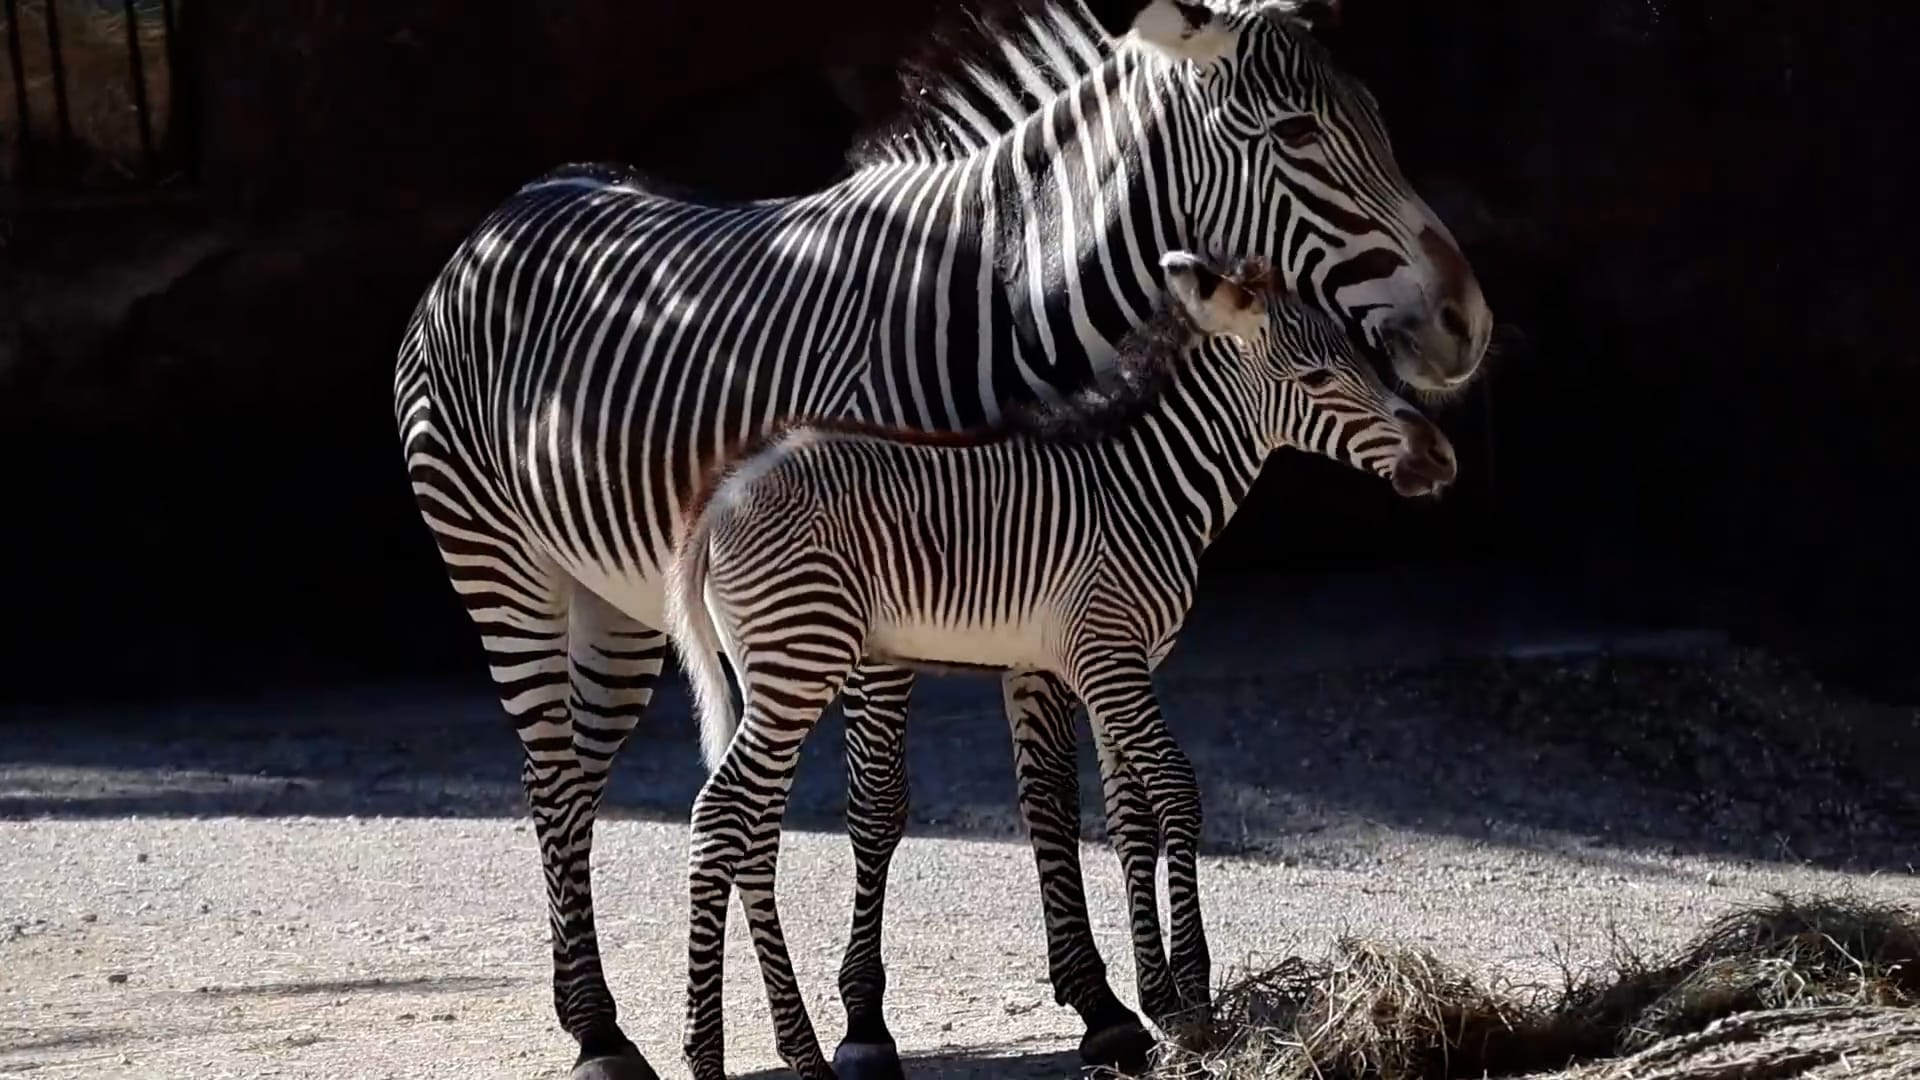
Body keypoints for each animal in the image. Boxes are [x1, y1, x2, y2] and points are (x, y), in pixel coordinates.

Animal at [666, 249, 1458, 1080]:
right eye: (1316, 376)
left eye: (1364, 362)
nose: (1441, 458)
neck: (1152, 489)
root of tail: (724, 493)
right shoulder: (1109, 656)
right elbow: (1177, 790)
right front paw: (1197, 999)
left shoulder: (1119, 665)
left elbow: (1130, 818)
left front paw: (1157, 997)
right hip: (800, 658)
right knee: (720, 815)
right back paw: (710, 1053)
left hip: (772, 668)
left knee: (752, 829)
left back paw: (801, 1050)